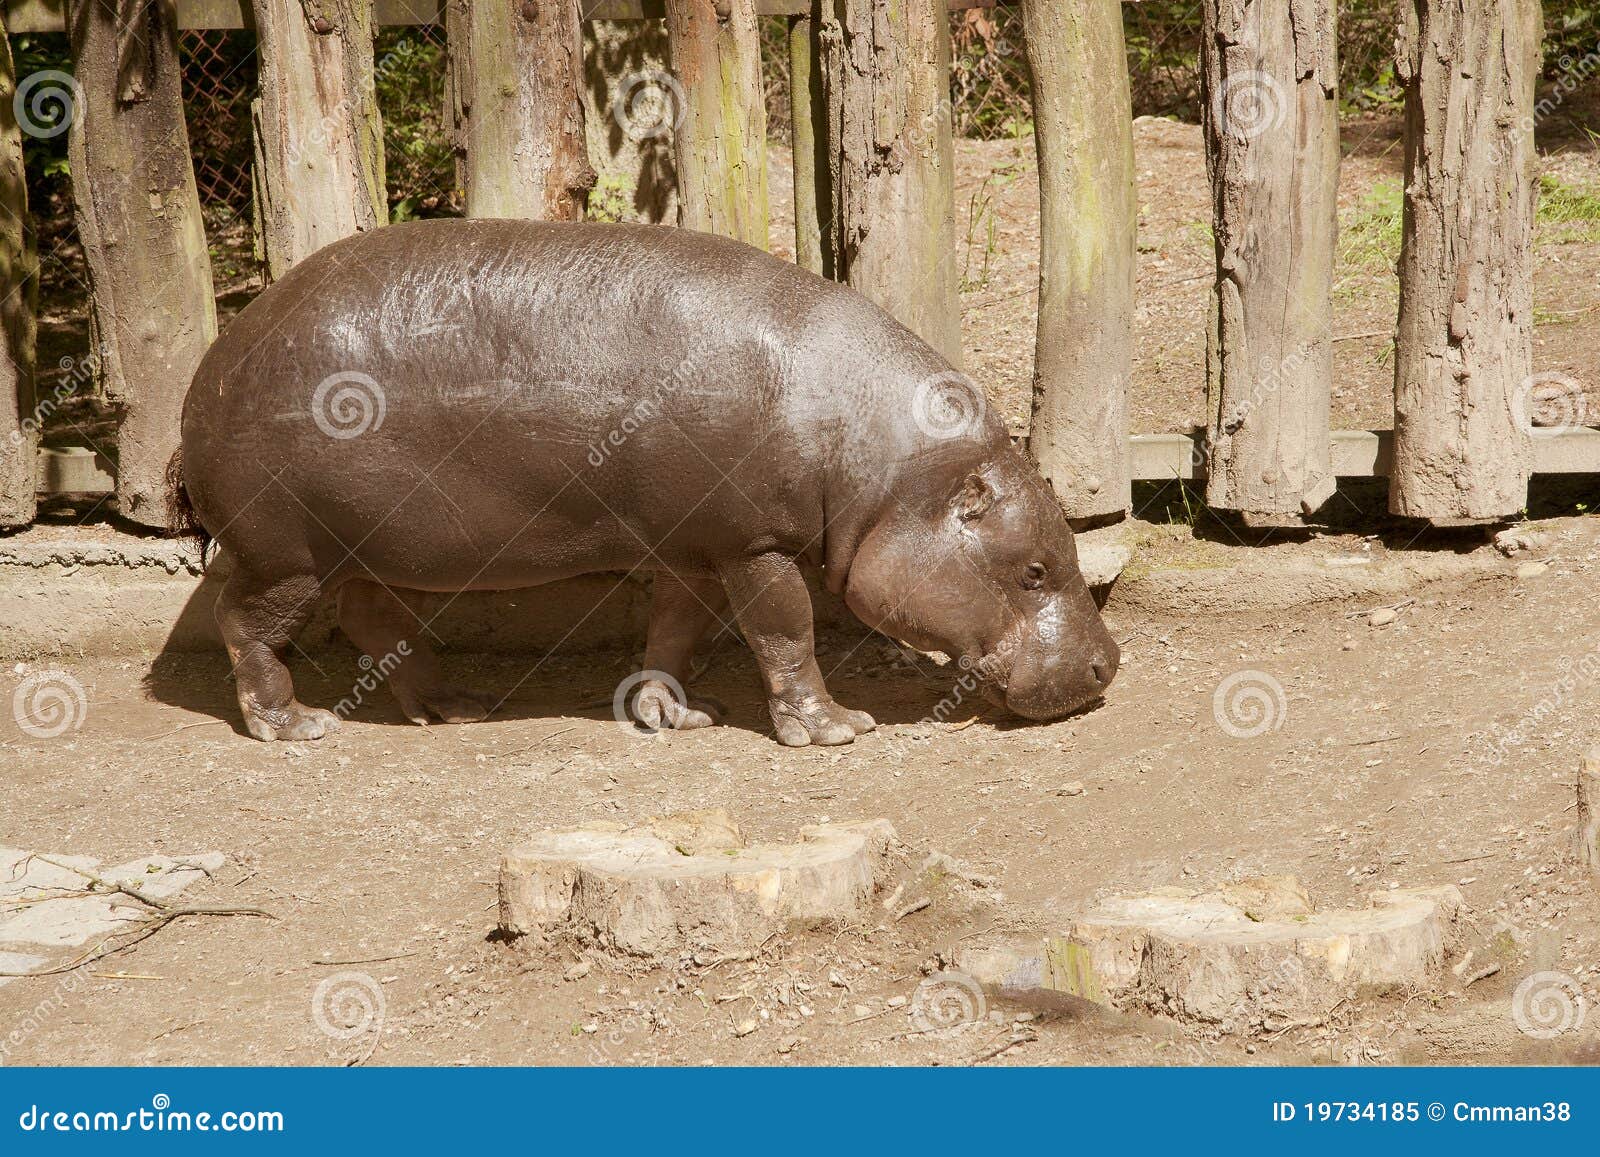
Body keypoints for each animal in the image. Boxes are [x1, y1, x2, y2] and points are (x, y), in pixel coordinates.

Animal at [170, 220, 1118, 745]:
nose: (1109, 662)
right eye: (1035, 568)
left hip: (359, 546)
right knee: (245, 624)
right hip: (285, 554)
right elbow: (787, 631)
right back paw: (295, 725)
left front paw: (671, 712)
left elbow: (675, 629)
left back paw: (455, 706)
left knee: (376, 619)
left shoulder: (692, 546)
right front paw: (837, 730)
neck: (882, 466)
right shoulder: (754, 541)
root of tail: (205, 371)